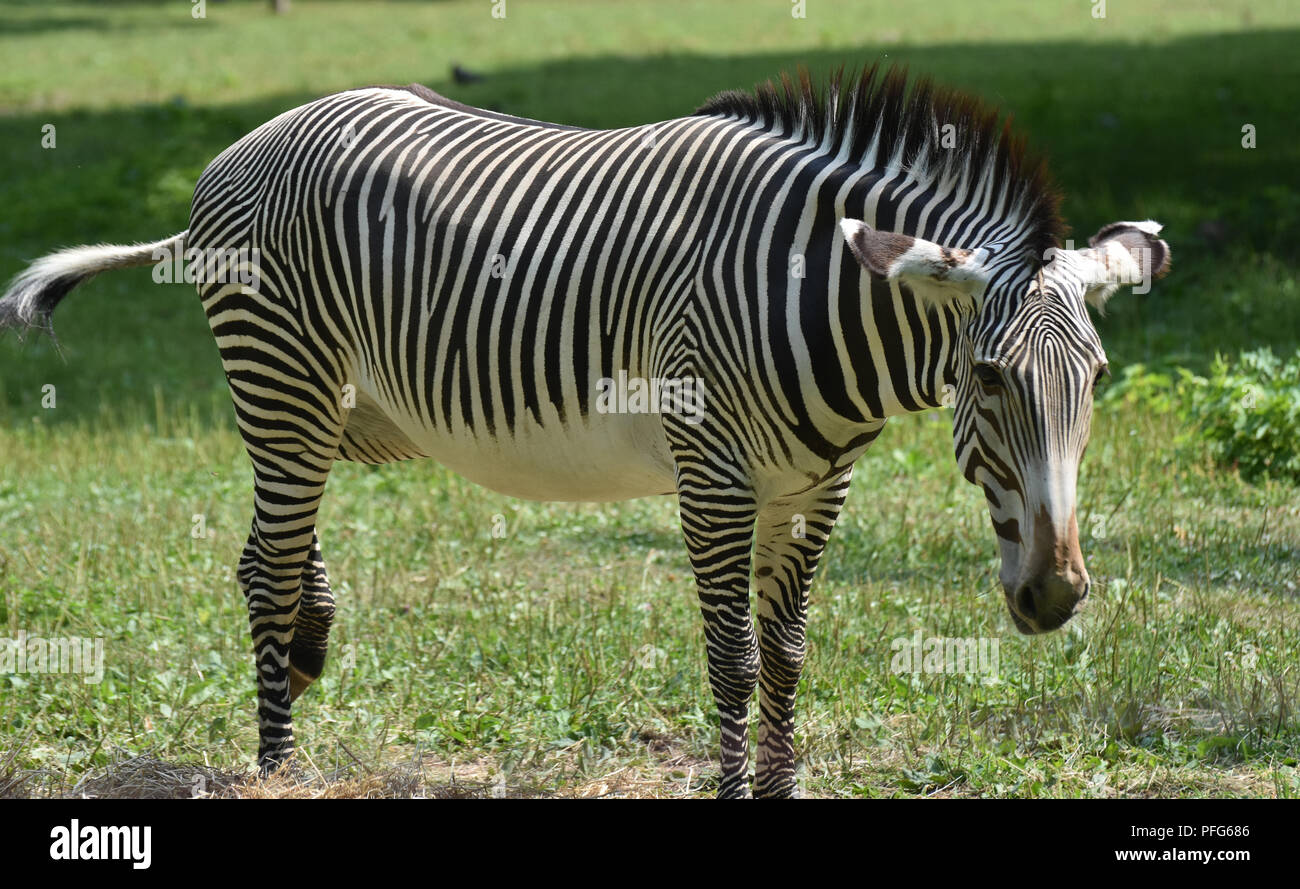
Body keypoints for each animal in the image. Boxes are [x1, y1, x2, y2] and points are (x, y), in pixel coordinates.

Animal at [0, 65, 1169, 798]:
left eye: (1098, 380)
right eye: (988, 376)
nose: (1057, 596)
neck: (812, 295)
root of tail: (241, 147)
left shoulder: (813, 489)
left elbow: (788, 651)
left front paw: (783, 783)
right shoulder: (714, 473)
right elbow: (733, 654)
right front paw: (735, 789)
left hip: (331, 408)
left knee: (274, 549)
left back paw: (310, 647)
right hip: (281, 377)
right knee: (267, 561)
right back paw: (279, 763)